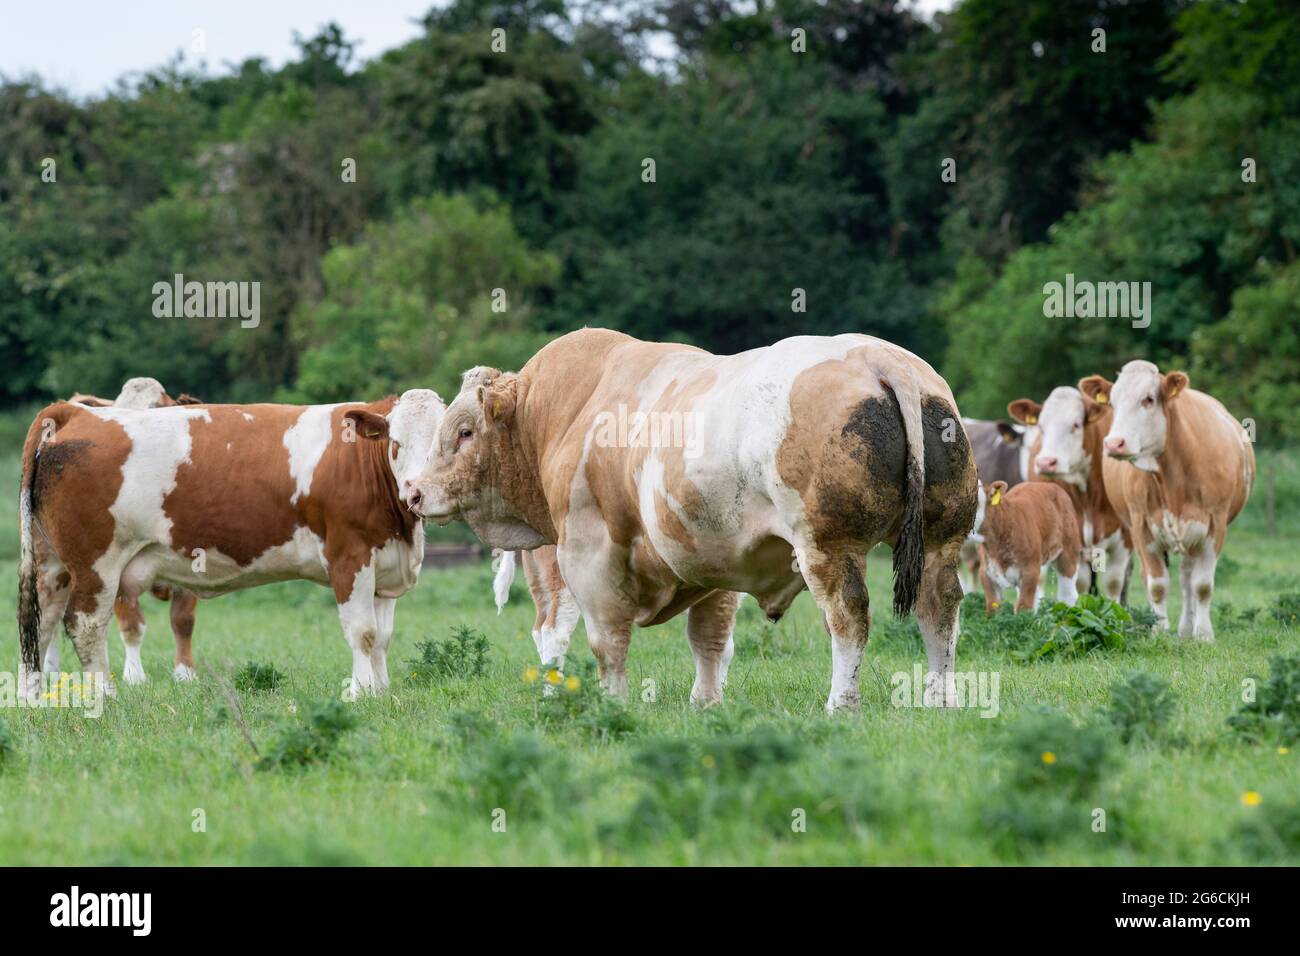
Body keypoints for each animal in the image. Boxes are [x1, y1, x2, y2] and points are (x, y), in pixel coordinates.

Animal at [17, 390, 445, 700]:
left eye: (443, 443)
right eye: (396, 442)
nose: (415, 490)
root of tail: (78, 412)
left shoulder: (384, 562)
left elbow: (383, 637)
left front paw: (382, 690)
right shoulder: (349, 556)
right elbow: (363, 632)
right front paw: (362, 692)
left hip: (53, 564)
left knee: (42, 622)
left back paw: (32, 698)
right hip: (96, 563)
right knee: (85, 623)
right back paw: (103, 696)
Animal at [404, 329, 978, 711]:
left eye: (464, 432)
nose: (412, 491)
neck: (566, 412)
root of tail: (877, 356)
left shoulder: (589, 552)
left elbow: (607, 641)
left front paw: (613, 703)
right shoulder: (715, 555)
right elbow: (709, 637)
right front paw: (706, 702)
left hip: (829, 547)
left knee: (849, 618)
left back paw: (841, 703)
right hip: (941, 539)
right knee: (939, 609)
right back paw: (940, 698)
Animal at [972, 480, 1081, 612]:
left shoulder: (1029, 571)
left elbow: (1024, 607)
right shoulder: (986, 573)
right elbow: (993, 607)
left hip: (1069, 554)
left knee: (1067, 594)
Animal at [1005, 387, 1132, 604]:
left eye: (1075, 425)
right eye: (1041, 426)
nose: (1045, 462)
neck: (1089, 495)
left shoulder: (1124, 541)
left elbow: (1114, 583)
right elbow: (1080, 583)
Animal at [1079, 362, 1254, 641]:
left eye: (1148, 399)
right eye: (1113, 403)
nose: (1114, 443)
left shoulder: (1215, 524)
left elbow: (1202, 585)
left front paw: (1204, 634)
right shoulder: (1141, 526)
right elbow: (1157, 585)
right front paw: (1158, 631)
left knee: (1187, 579)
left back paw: (1186, 629)